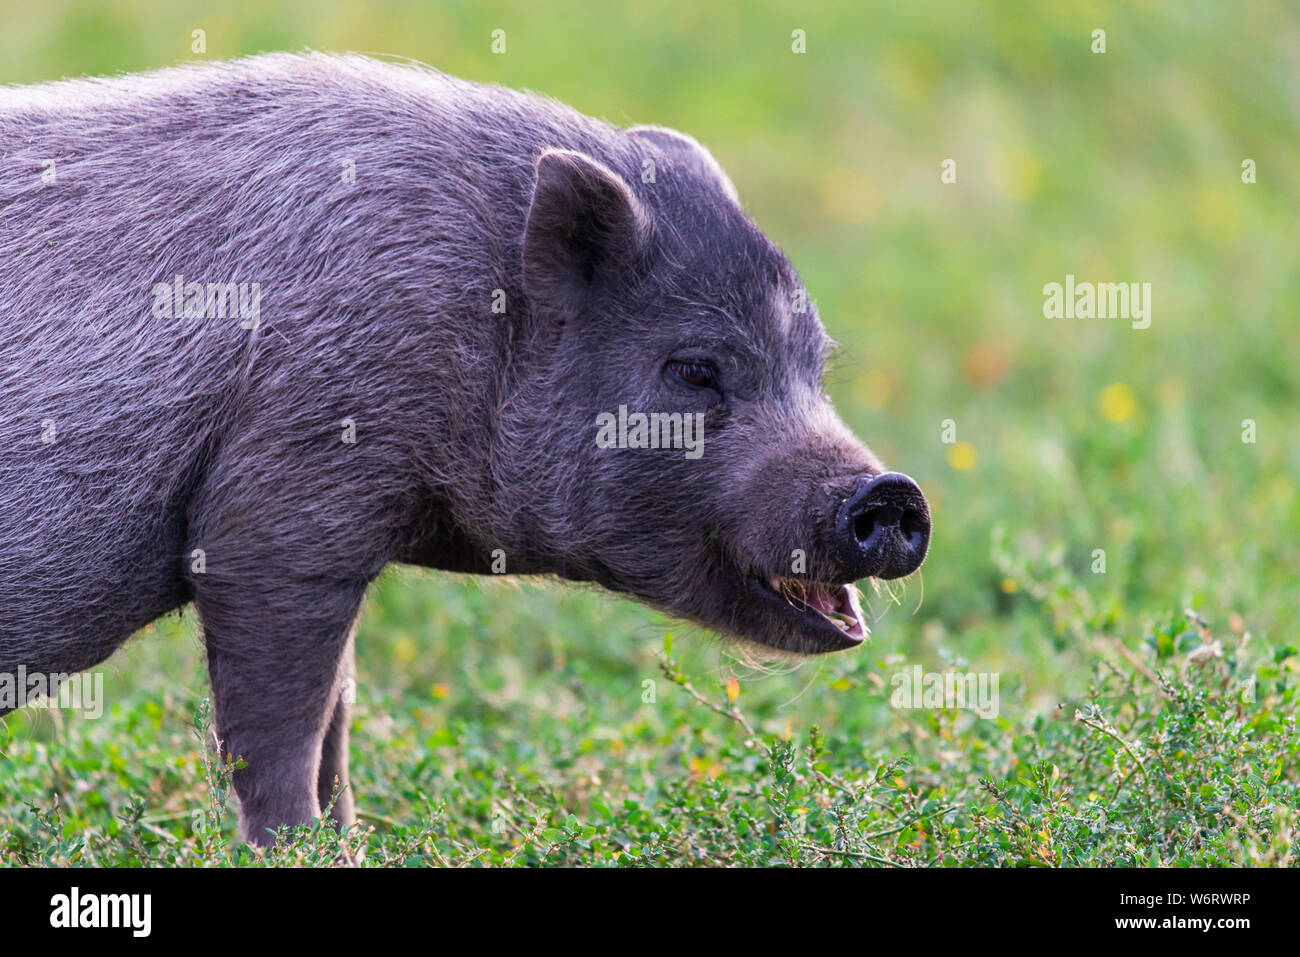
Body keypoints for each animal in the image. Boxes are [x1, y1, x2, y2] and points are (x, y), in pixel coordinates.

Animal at [0, 53, 929, 845]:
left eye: (817, 362)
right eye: (696, 369)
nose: (890, 491)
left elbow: (337, 715)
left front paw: (348, 842)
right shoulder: (276, 515)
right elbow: (283, 727)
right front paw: (299, 846)